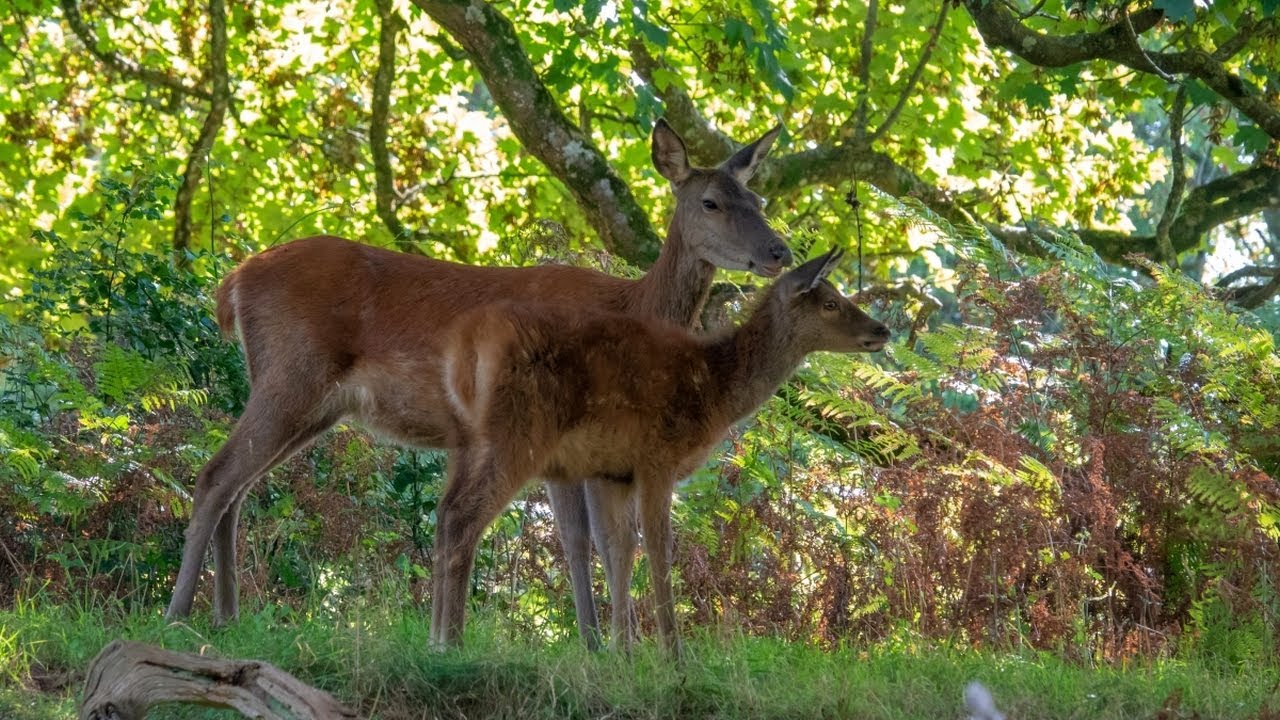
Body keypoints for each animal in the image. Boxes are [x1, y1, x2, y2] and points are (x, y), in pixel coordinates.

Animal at [164, 119, 794, 650]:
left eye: (758, 200)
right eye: (711, 202)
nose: (780, 251)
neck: (631, 305)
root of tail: (234, 283)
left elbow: (589, 541)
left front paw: (600, 644)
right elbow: (588, 539)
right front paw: (607, 647)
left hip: (310, 401)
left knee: (238, 486)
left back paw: (226, 616)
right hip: (292, 374)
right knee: (216, 475)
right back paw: (178, 614)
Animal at [431, 248, 890, 653]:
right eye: (830, 303)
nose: (882, 330)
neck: (717, 392)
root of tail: (466, 344)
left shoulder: (613, 471)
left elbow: (619, 547)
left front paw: (624, 652)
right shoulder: (657, 455)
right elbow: (659, 547)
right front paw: (672, 655)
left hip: (468, 441)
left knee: (445, 508)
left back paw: (436, 640)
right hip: (518, 433)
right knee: (464, 515)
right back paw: (451, 642)